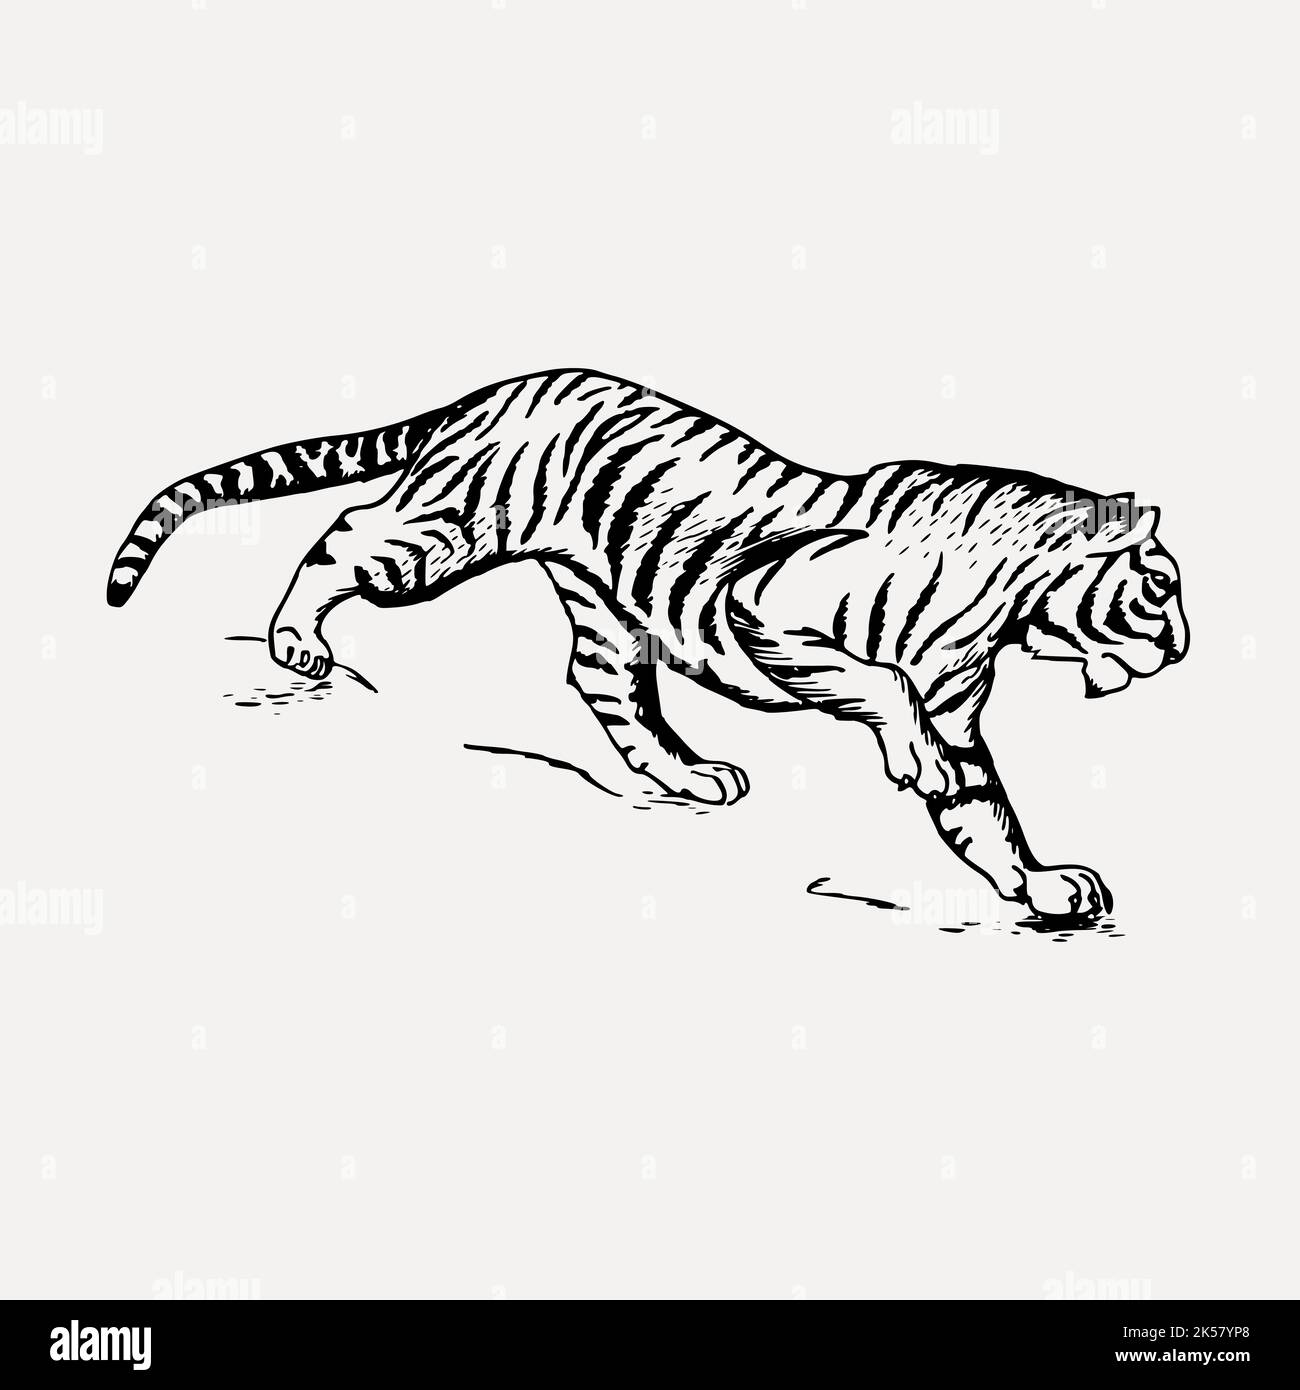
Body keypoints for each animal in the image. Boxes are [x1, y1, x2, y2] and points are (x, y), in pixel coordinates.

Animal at [107, 368, 1188, 919]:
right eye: (1160, 589)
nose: (1183, 647)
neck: (1009, 602)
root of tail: (497, 387)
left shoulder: (964, 717)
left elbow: (984, 813)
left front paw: (1041, 885)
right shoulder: (768, 604)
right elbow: (881, 685)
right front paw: (909, 757)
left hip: (604, 606)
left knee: (603, 685)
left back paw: (689, 773)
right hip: (443, 533)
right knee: (345, 535)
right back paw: (295, 640)